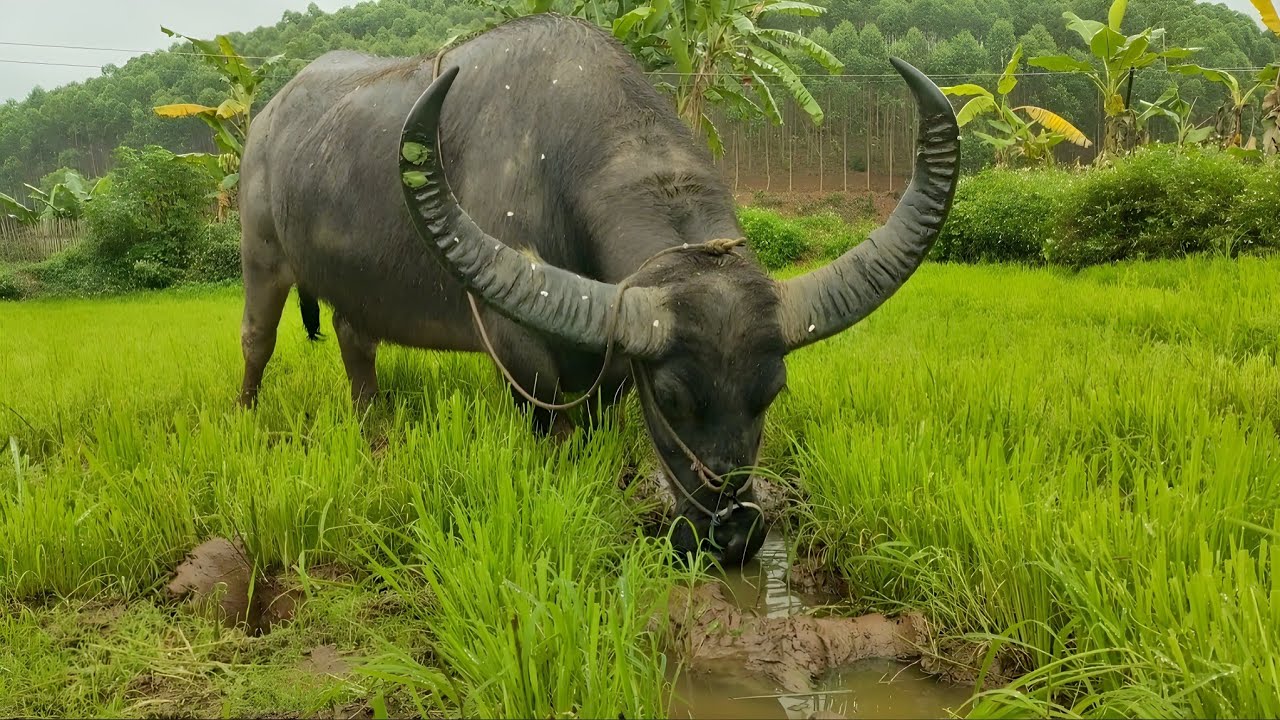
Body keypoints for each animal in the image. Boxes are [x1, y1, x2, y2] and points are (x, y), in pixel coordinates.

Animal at [235, 12, 959, 566]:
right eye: (673, 396)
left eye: (771, 392)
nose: (730, 535)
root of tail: (267, 118)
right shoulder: (518, 348)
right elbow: (550, 422)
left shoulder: (611, 355)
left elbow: (598, 424)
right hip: (260, 257)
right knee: (257, 341)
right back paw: (246, 416)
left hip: (355, 295)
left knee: (355, 344)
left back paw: (373, 428)